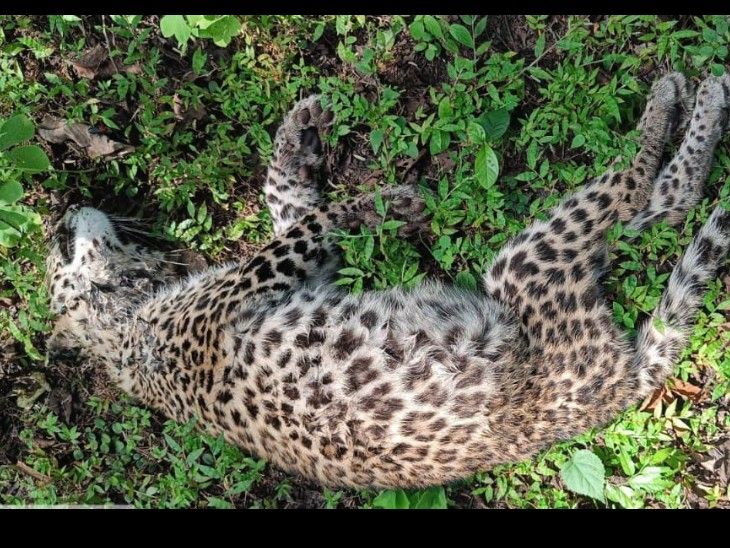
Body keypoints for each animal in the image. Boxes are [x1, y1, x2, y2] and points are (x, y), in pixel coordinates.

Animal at [45, 71, 730, 489]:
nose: (60, 211)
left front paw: (301, 127)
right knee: (643, 190)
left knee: (660, 207)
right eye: (59, 245)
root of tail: (609, 392)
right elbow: (316, 219)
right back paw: (676, 99)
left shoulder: (294, 268)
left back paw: (696, 101)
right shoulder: (260, 277)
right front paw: (394, 201)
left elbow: (288, 198)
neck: (125, 322)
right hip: (526, 268)